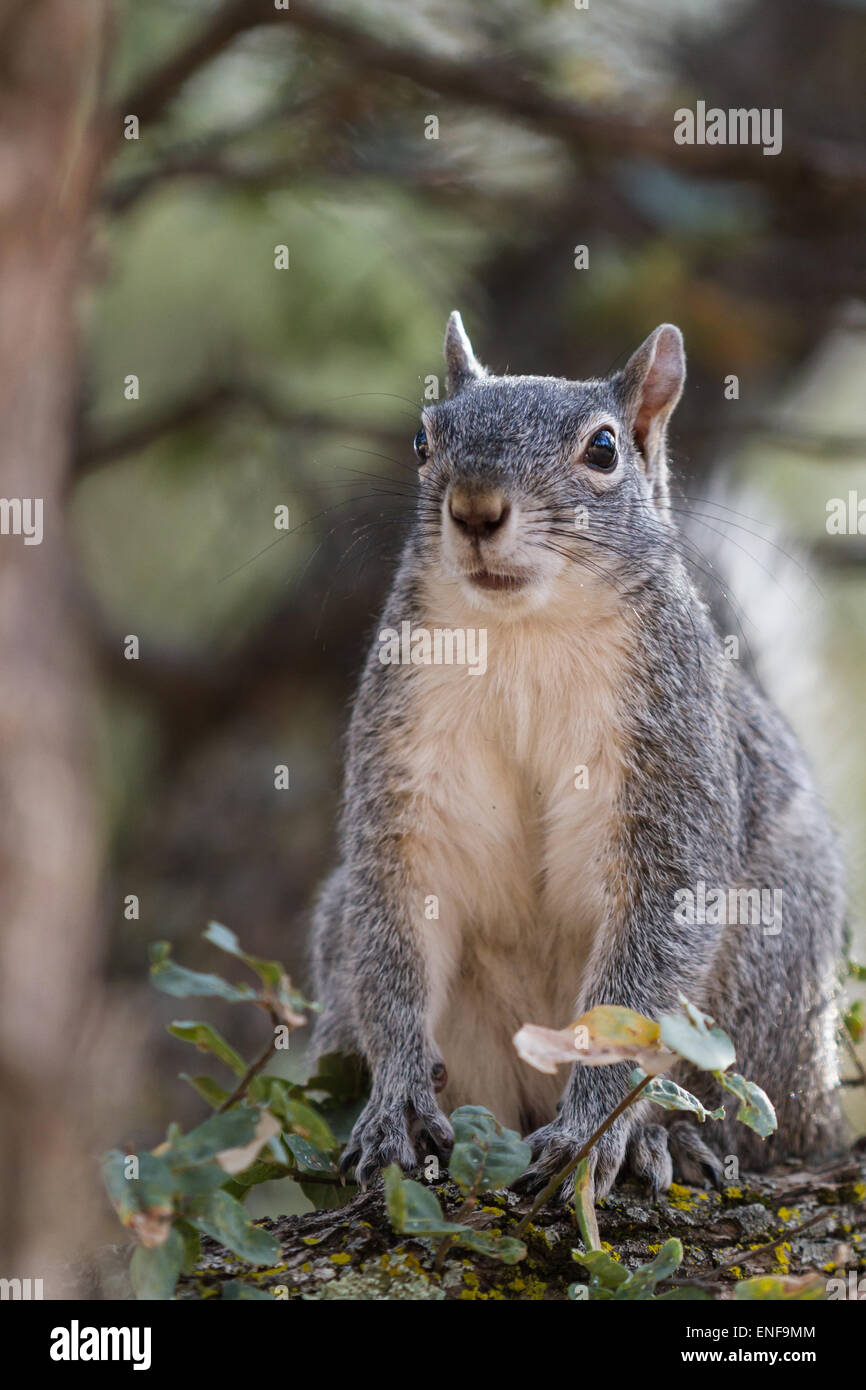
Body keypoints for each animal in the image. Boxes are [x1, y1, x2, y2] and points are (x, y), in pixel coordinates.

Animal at [311, 312, 846, 1197]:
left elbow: (648, 953)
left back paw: (672, 1138)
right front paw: (395, 1098)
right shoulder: (405, 763)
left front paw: (591, 1132)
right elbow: (395, 924)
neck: (525, 632)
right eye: (423, 439)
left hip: (774, 968)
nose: (475, 509)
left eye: (603, 450)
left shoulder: (671, 760)